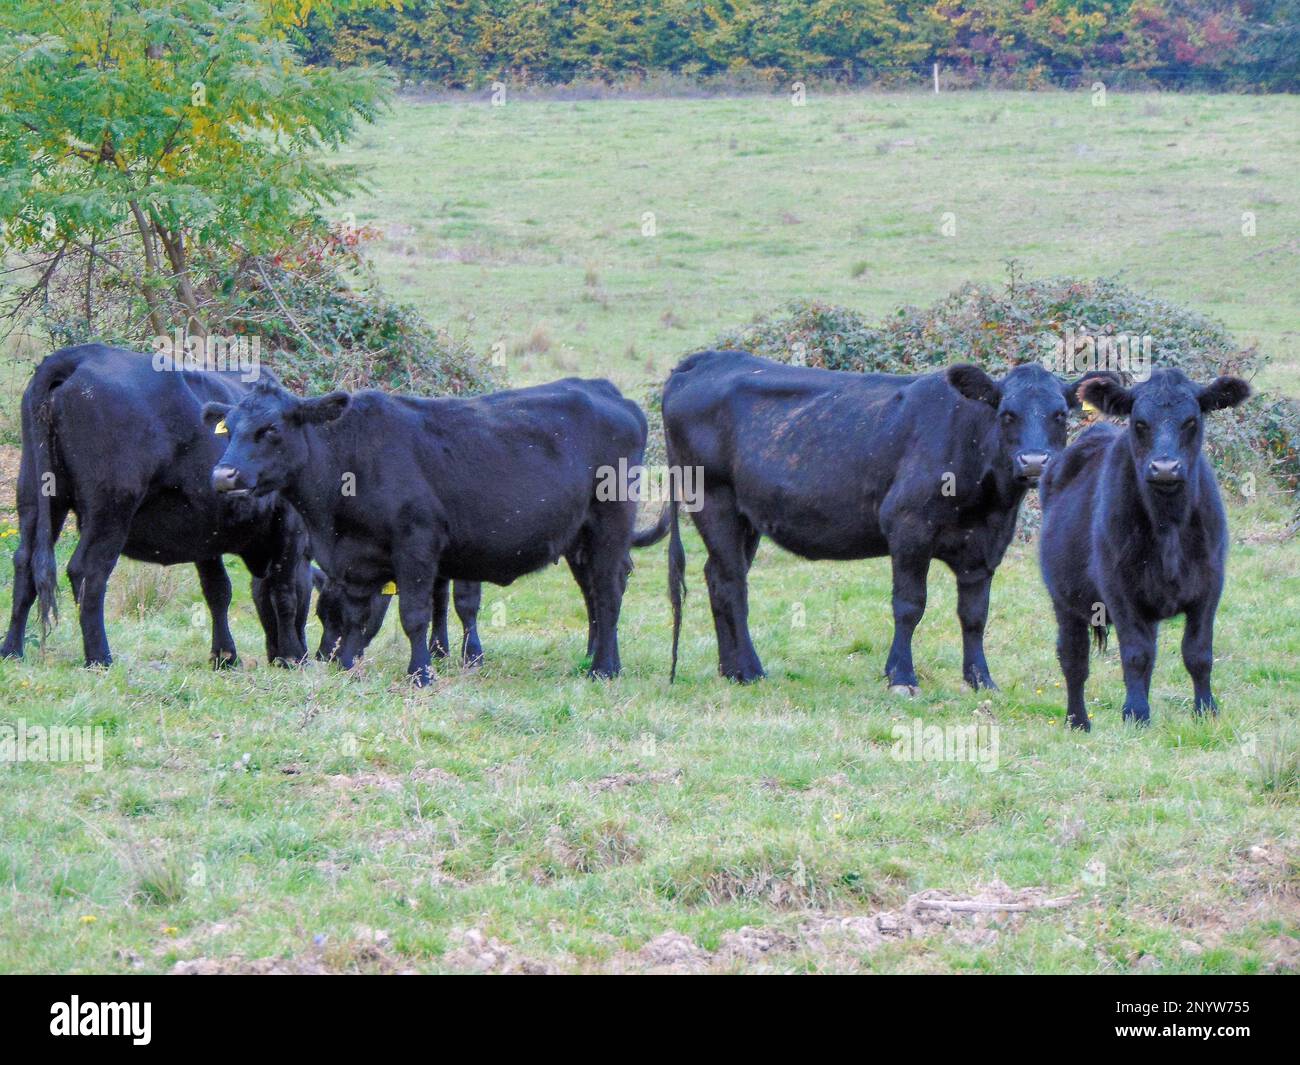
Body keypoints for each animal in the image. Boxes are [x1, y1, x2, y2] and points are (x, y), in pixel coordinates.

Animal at [1, 344, 311, 669]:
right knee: (87, 571)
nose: (293, 652)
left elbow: (218, 591)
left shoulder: (206, 531)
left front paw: (224, 655)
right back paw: (100, 657)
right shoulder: (290, 528)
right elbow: (284, 592)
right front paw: (292, 656)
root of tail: (81, 354)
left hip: (37, 496)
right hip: (111, 507)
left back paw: (12, 649)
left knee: (24, 564)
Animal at [202, 377, 670, 685]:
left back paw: (604, 668)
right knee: (595, 591)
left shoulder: (416, 546)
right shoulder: (353, 558)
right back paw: (598, 657)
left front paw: (421, 673)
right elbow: (355, 614)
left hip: (610, 524)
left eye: (270, 429)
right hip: (581, 539)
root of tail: (611, 395)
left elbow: (415, 615)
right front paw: (347, 666)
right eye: (230, 429)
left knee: (607, 592)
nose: (223, 475)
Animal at [663, 349, 1107, 690]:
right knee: (732, 583)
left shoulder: (985, 545)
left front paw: (980, 679)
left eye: (1059, 415)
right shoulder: (908, 528)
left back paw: (730, 669)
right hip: (712, 499)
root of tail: (707, 359)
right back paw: (750, 670)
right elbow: (910, 605)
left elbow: (975, 614)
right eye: (1007, 413)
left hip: (746, 517)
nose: (1034, 462)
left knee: (717, 576)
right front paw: (902, 676)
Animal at [1038, 369, 1251, 730]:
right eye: (1139, 422)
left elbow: (1198, 653)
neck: (1169, 527)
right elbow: (1136, 654)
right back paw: (1078, 720)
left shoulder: (1210, 585)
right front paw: (1136, 714)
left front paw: (1205, 710)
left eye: (1191, 421)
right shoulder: (1120, 591)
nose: (1165, 467)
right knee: (1073, 658)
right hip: (1063, 599)